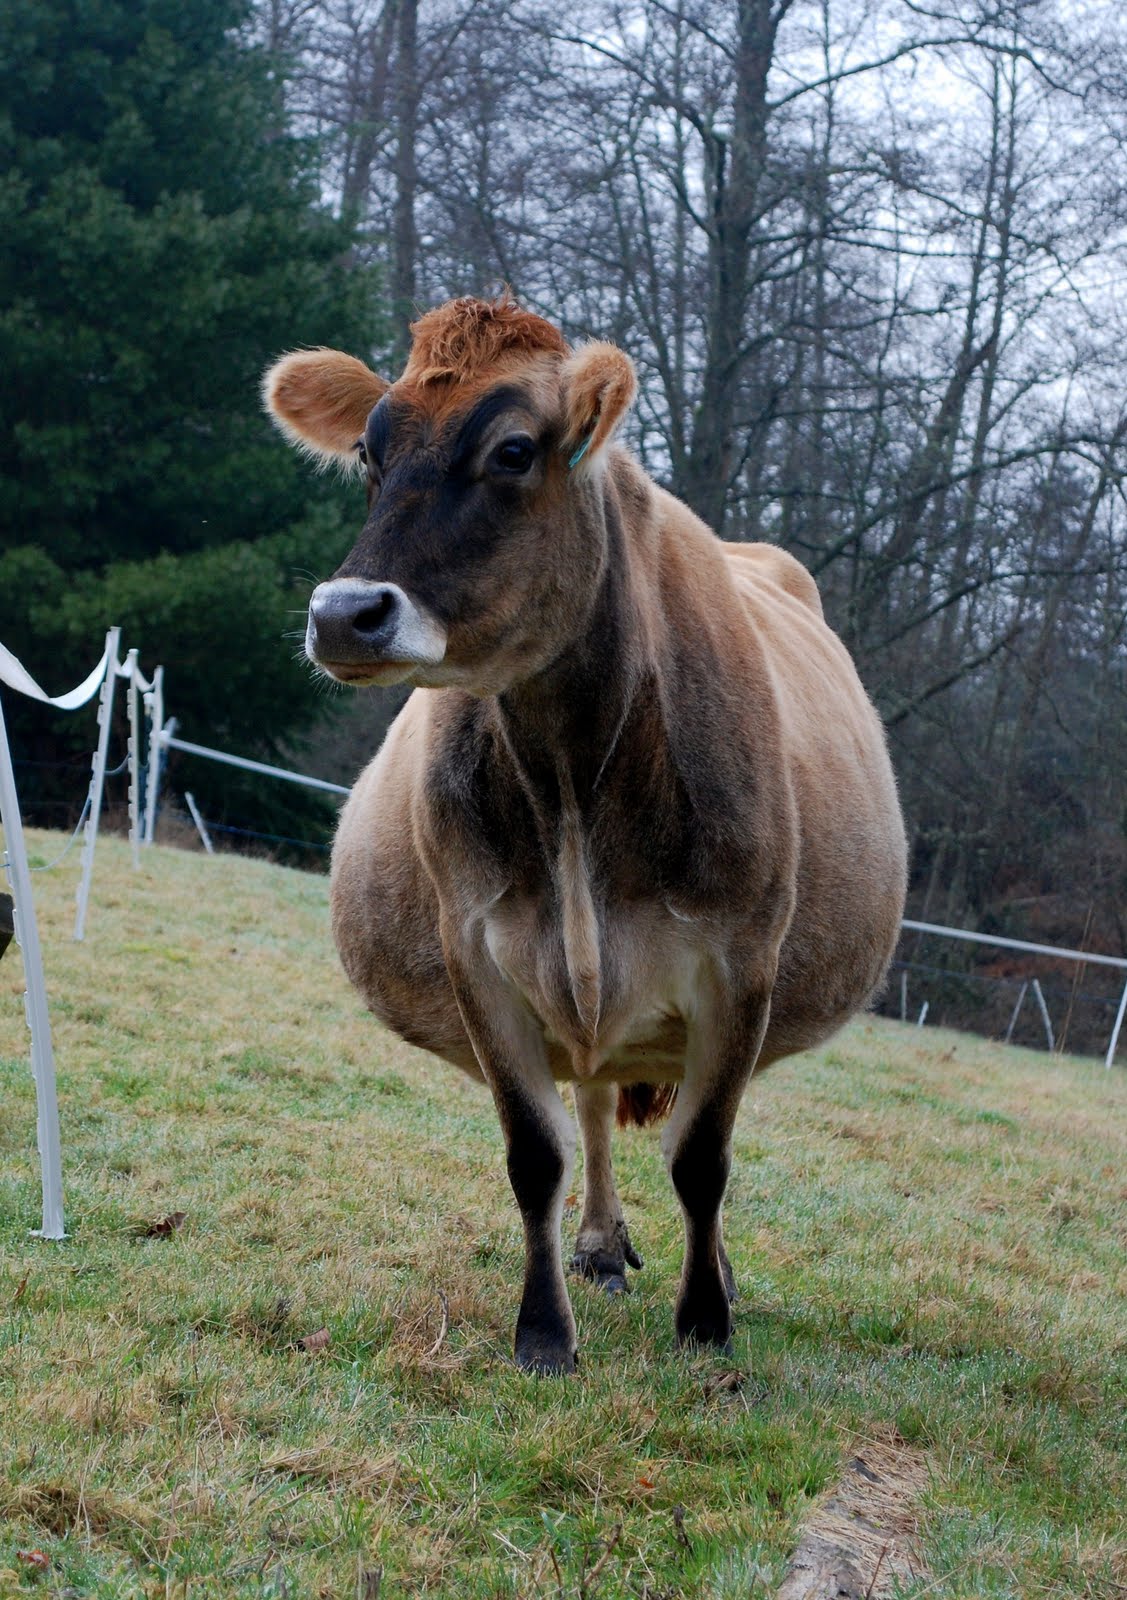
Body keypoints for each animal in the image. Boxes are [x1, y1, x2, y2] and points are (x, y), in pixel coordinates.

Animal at [263, 295, 907, 1374]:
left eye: (514, 450)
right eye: (367, 450)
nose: (345, 615)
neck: (571, 773)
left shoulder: (741, 962)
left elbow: (702, 1158)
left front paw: (706, 1323)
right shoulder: (476, 950)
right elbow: (536, 1155)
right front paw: (542, 1332)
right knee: (600, 1096)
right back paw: (601, 1245)